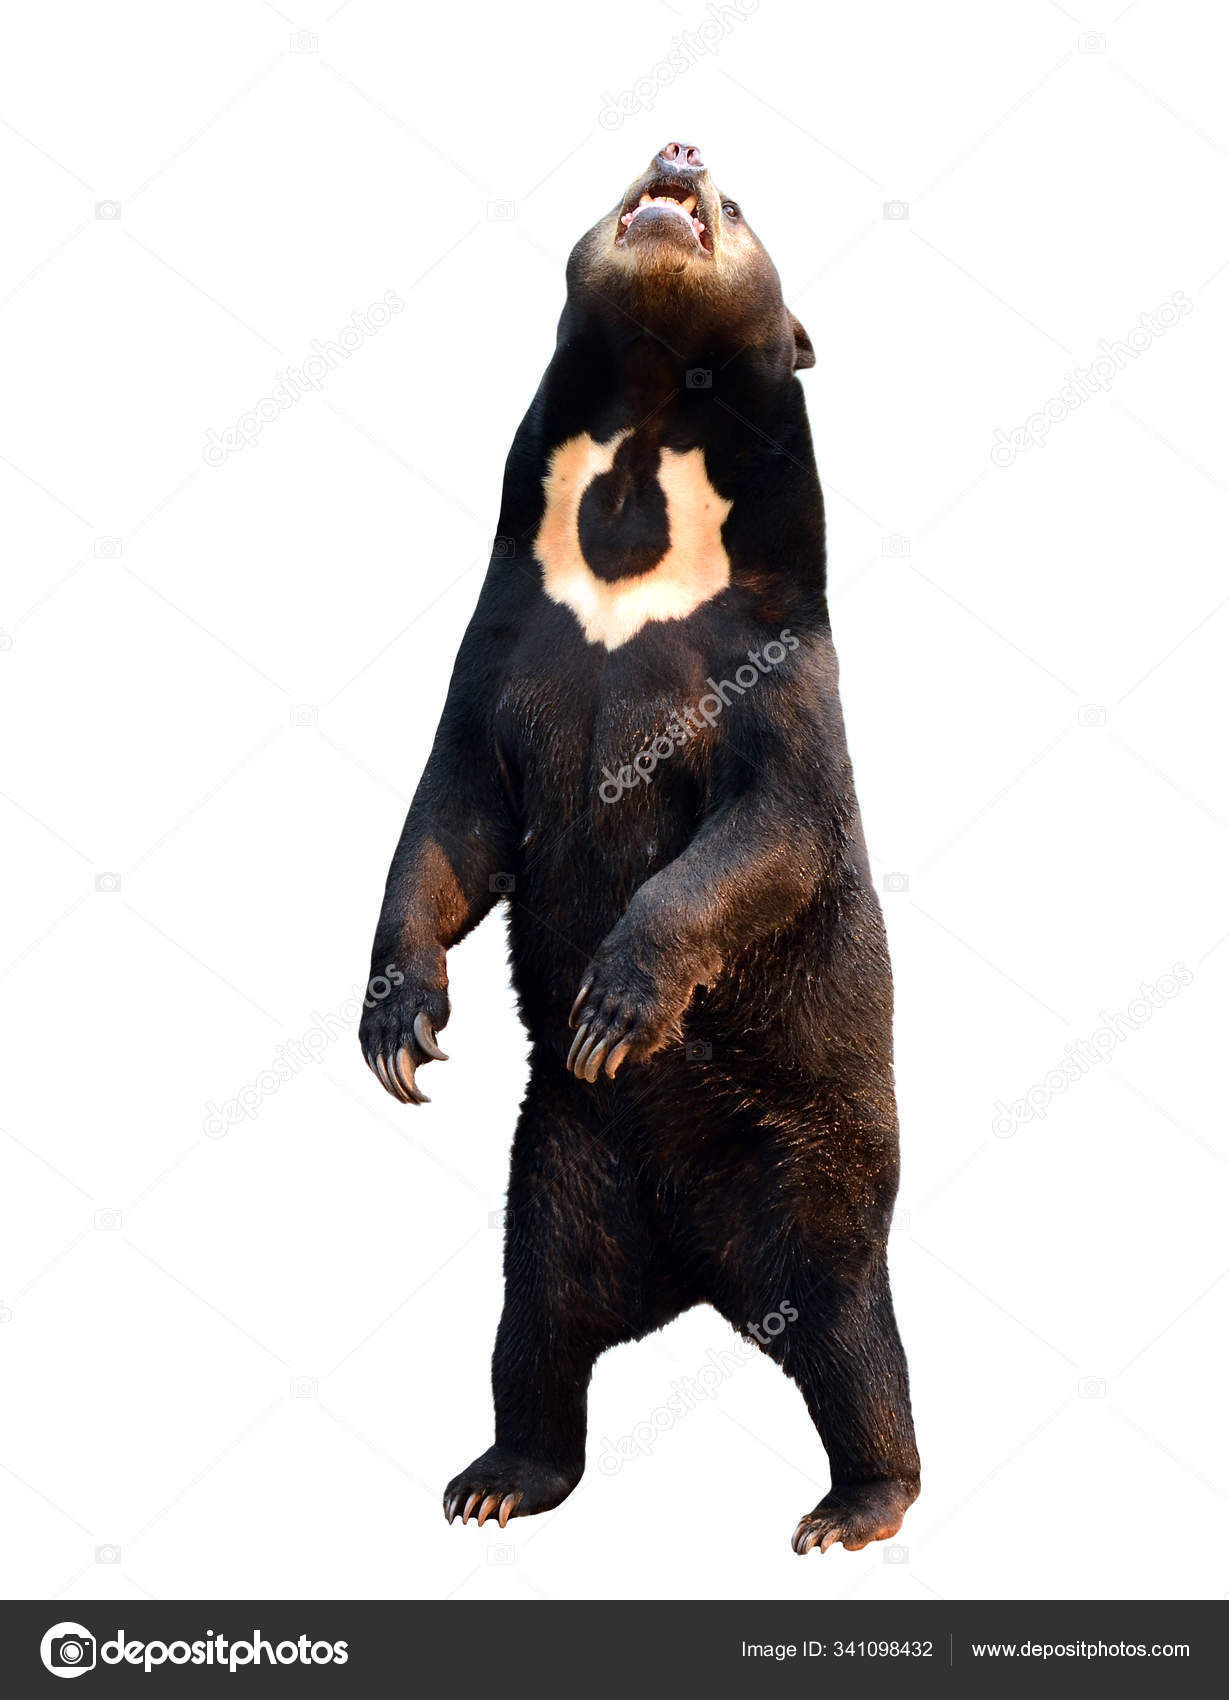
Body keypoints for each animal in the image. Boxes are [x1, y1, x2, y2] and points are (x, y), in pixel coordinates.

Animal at [360, 141, 921, 1556]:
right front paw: (397, 1026)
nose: (680, 149)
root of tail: (701, 1281)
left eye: (741, 206)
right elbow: (451, 823)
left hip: (812, 1166)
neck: (635, 509)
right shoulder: (505, 640)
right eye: (639, 174)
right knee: (537, 1323)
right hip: (556, 1169)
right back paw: (495, 1478)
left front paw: (615, 1003)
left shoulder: (769, 659)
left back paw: (853, 1503)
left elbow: (772, 824)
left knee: (851, 1336)